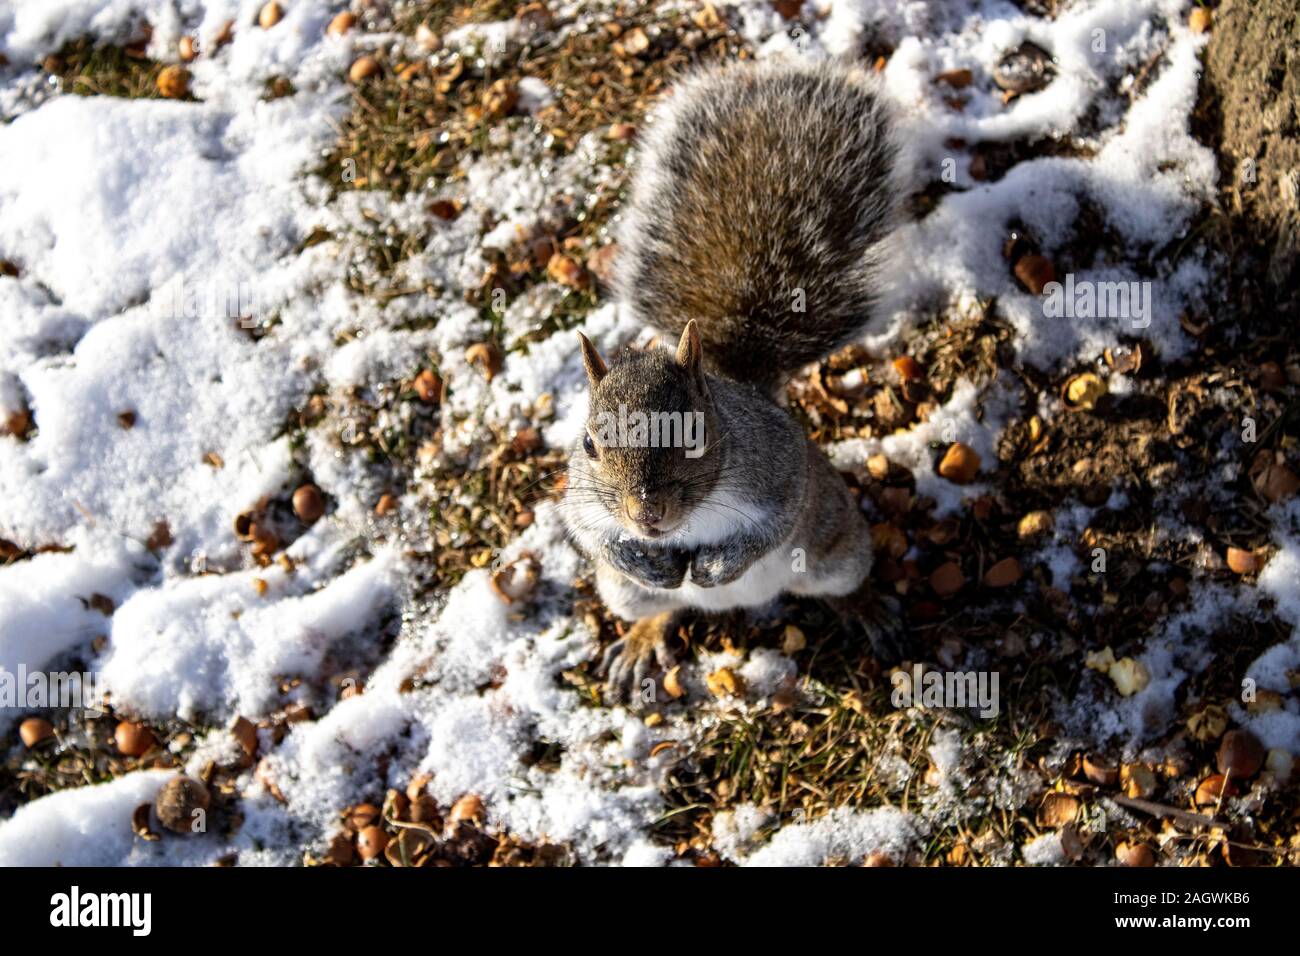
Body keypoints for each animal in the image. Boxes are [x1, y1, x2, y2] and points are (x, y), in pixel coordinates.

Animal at [561, 59, 907, 703]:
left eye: (695, 433)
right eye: (590, 445)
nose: (646, 517)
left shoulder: (780, 470)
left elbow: (770, 526)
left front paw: (715, 566)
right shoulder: (580, 501)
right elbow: (590, 533)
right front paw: (650, 561)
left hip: (838, 547)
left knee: (844, 581)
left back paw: (867, 608)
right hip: (619, 594)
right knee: (655, 608)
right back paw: (642, 638)